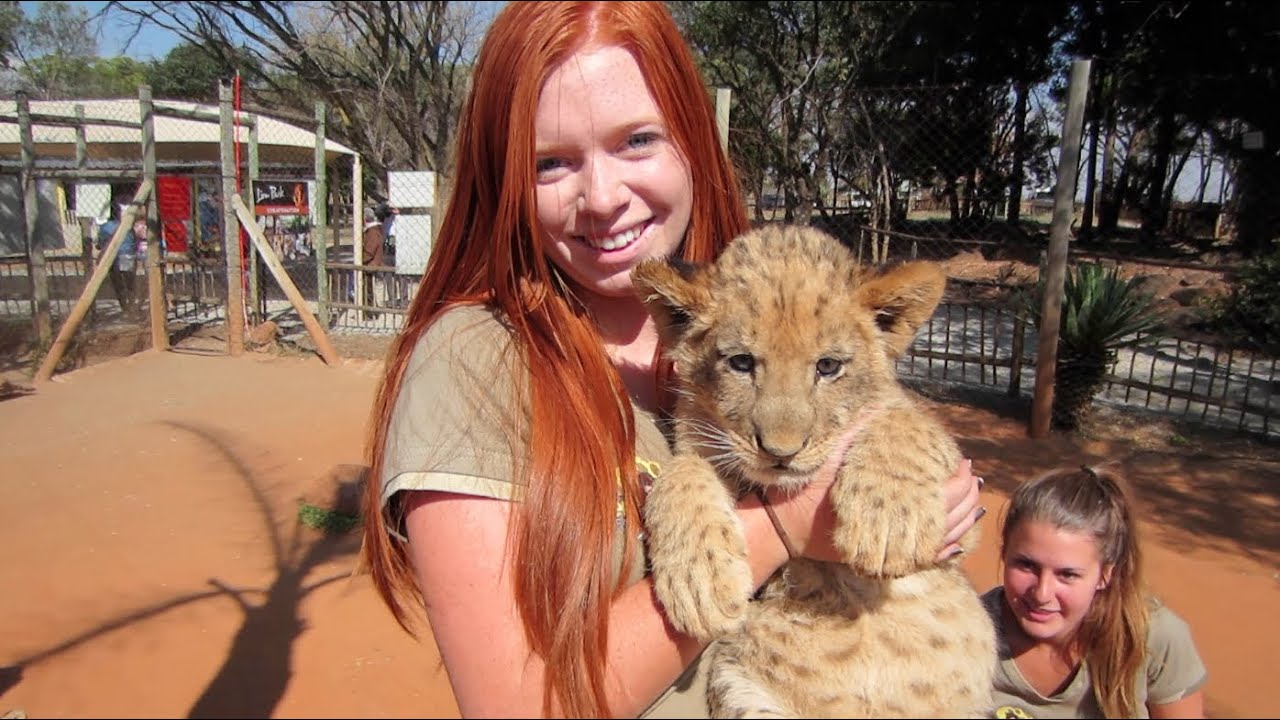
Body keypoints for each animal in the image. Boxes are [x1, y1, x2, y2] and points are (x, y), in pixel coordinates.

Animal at [631, 224, 995, 719]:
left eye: (828, 366)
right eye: (741, 362)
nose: (780, 451)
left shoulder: (961, 529)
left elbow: (907, 421)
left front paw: (887, 526)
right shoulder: (695, 444)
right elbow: (679, 471)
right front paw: (699, 581)